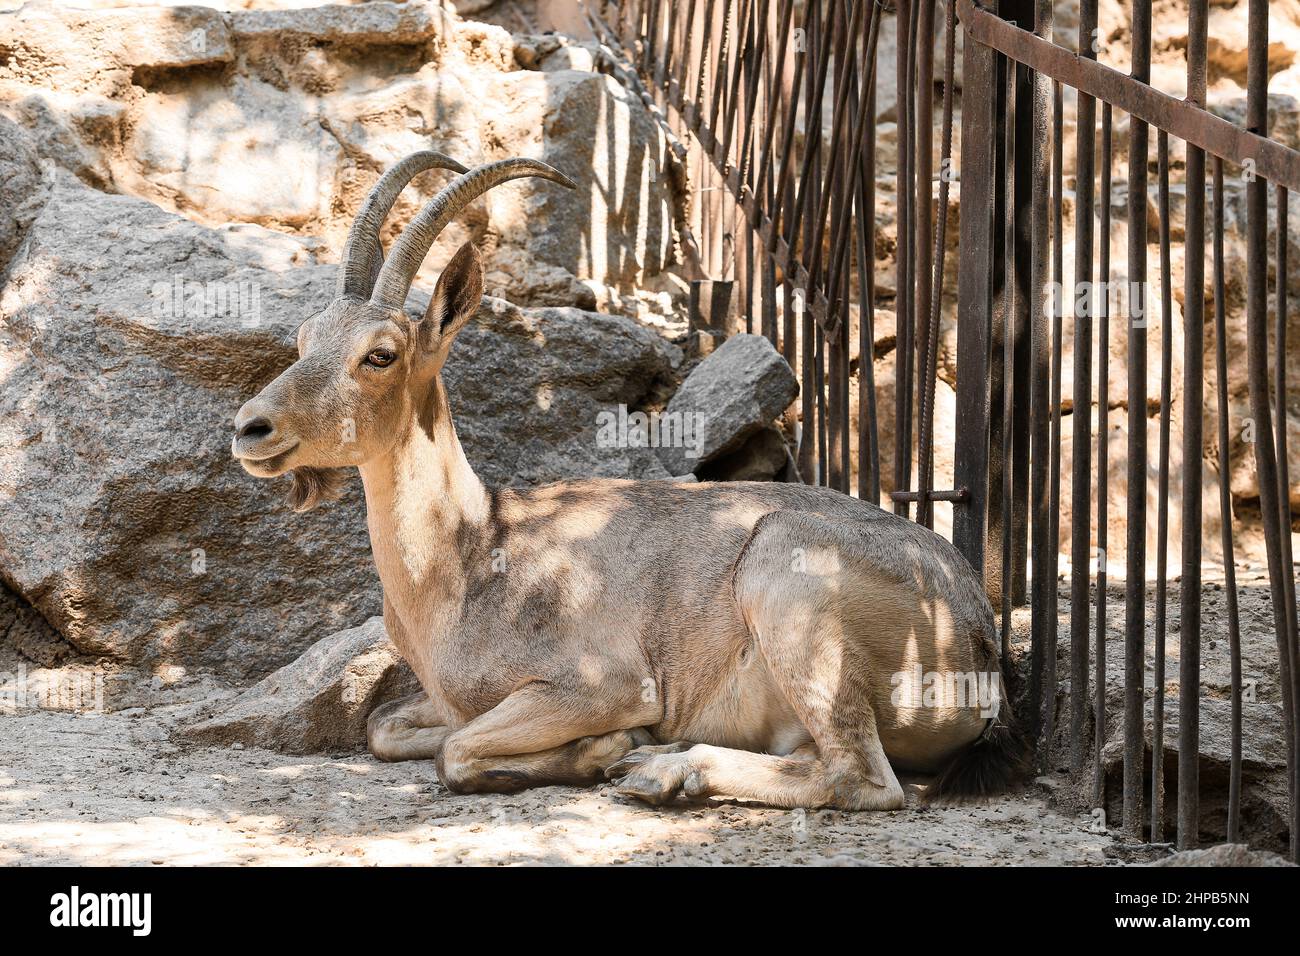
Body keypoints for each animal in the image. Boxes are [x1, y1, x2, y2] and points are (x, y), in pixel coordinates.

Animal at [231, 151, 1024, 809]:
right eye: (305, 338)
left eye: (382, 353)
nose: (251, 428)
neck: (471, 559)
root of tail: (981, 651)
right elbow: (384, 726)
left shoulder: (597, 683)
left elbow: (457, 753)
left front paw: (606, 747)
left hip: (789, 585)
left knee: (863, 777)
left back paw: (661, 772)